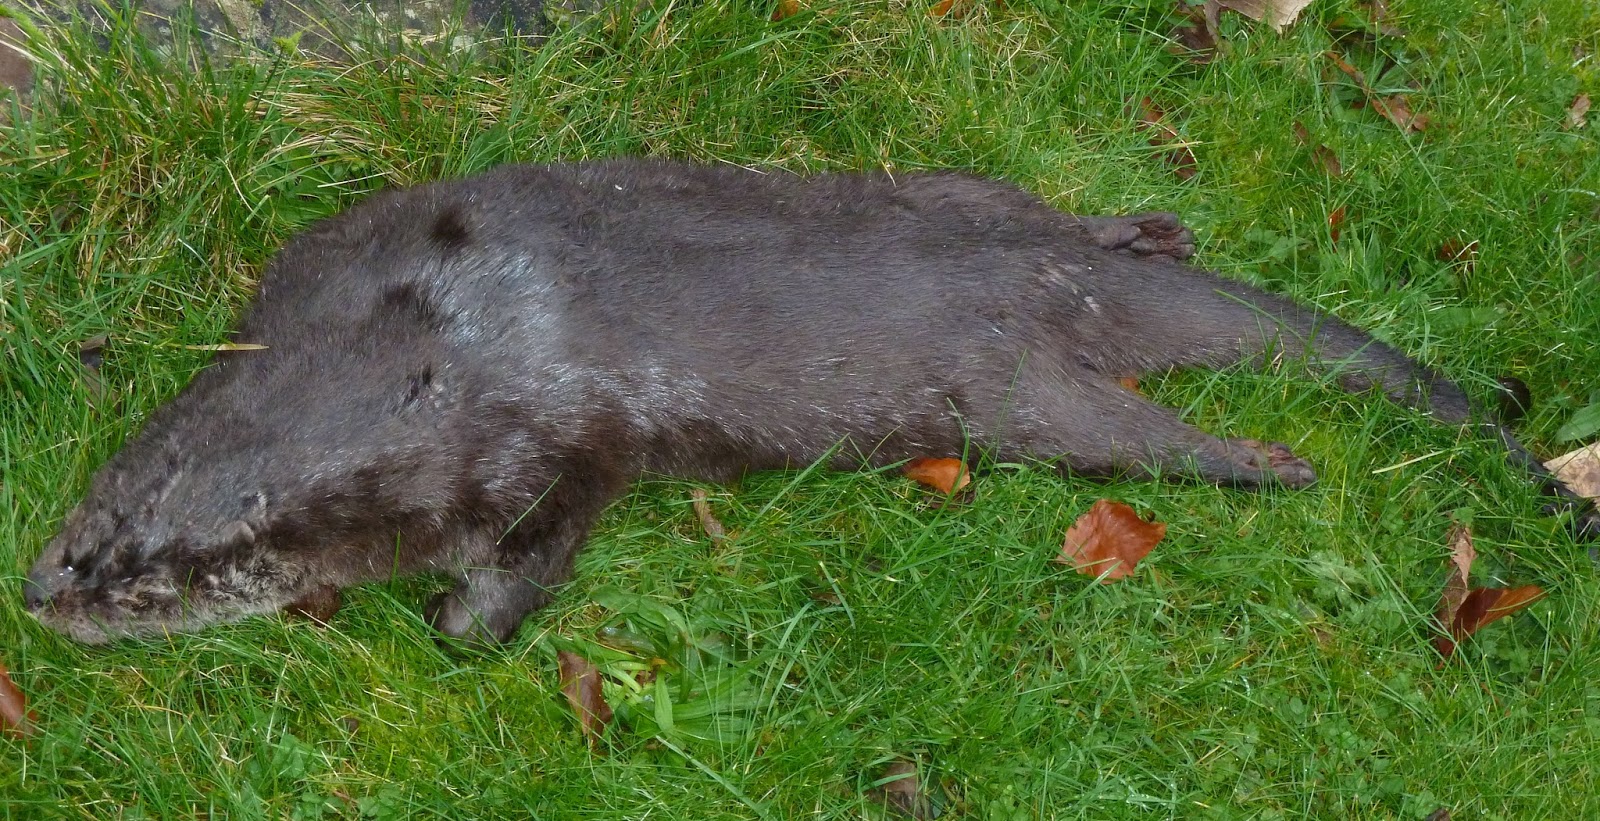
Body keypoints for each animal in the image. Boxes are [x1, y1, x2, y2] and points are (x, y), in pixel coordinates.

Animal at [23, 159, 1595, 646]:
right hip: (975, 206)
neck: (431, 343)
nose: (40, 598)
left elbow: (545, 537)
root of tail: (1043, 282)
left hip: (1023, 398)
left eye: (157, 583)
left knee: (1147, 435)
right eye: (92, 528)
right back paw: (1147, 227)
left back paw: (1273, 462)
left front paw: (466, 617)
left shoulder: (561, 435)